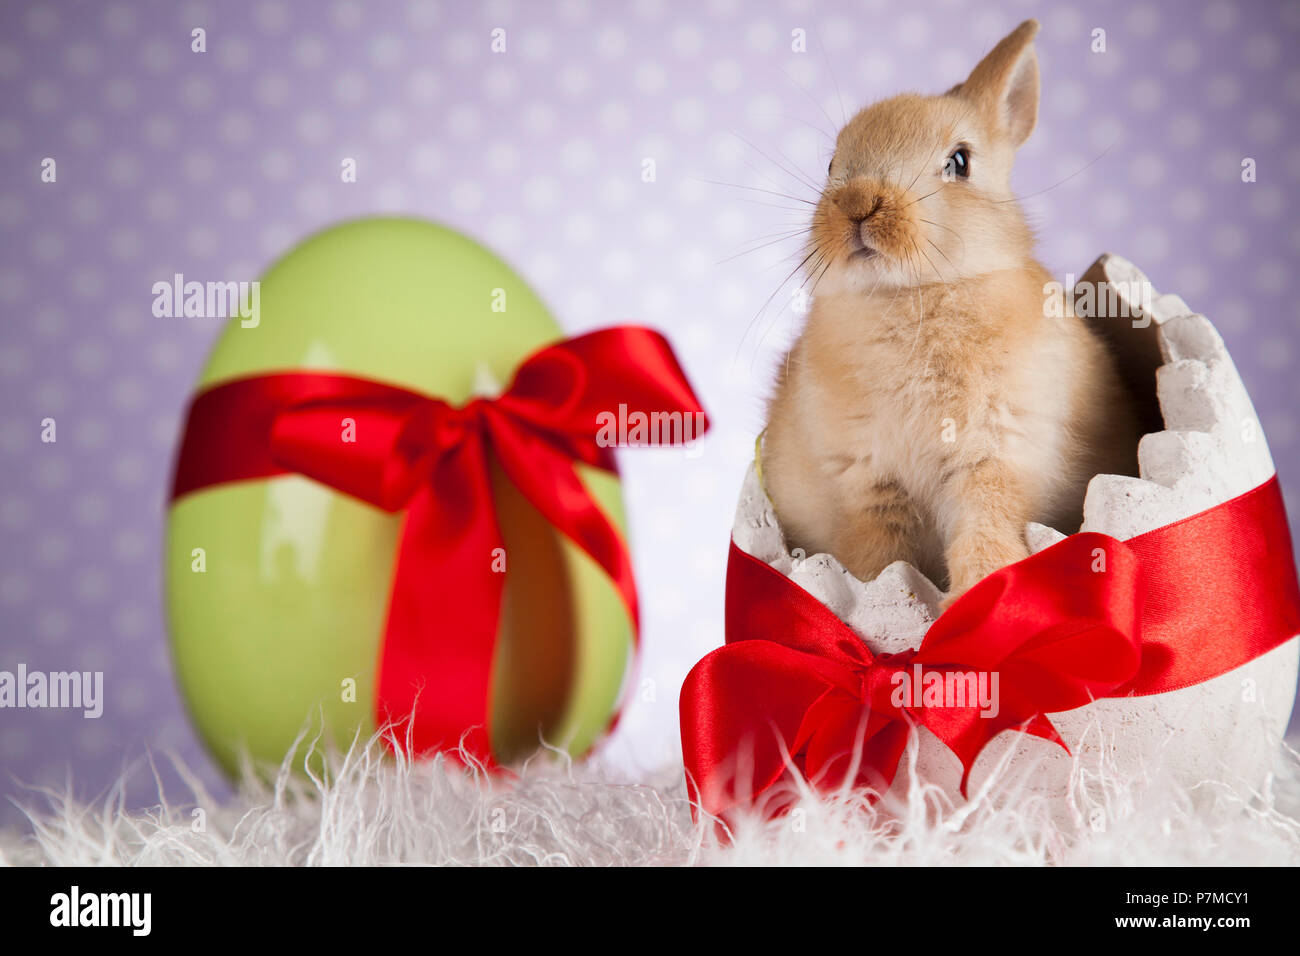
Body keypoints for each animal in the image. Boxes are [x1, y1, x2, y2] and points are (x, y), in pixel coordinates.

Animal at [762, 19, 1140, 607]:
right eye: (830, 163)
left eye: (959, 161)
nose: (858, 203)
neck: (916, 294)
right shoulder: (868, 485)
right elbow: (878, 561)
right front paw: (884, 602)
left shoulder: (993, 462)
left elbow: (983, 530)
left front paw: (978, 594)